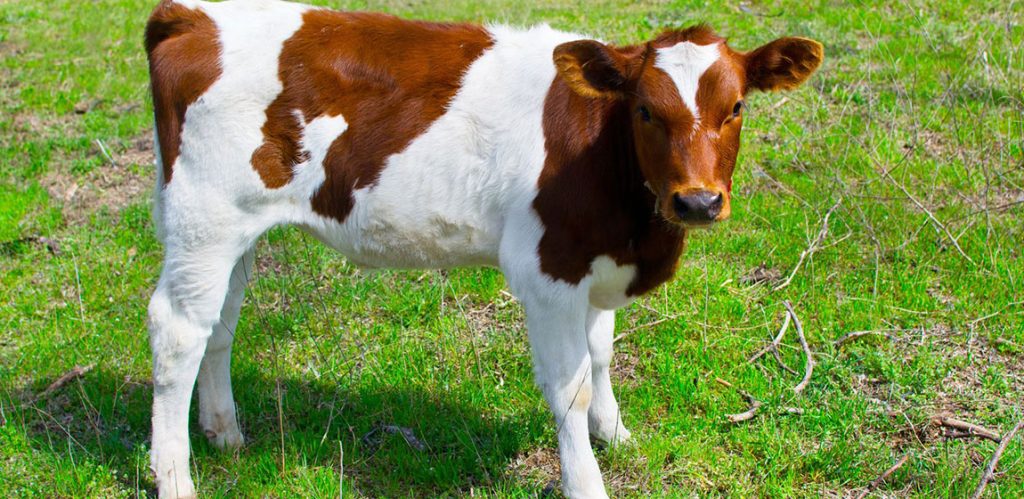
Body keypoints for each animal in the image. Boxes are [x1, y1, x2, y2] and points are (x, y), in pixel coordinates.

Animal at [143, 0, 823, 496]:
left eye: (736, 106)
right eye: (646, 111)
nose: (699, 202)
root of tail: (193, 14)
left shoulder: (597, 260)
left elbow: (603, 353)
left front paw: (617, 434)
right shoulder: (549, 270)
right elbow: (570, 386)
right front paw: (586, 481)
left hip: (234, 230)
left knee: (219, 323)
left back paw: (225, 434)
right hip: (204, 216)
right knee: (177, 331)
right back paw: (177, 479)